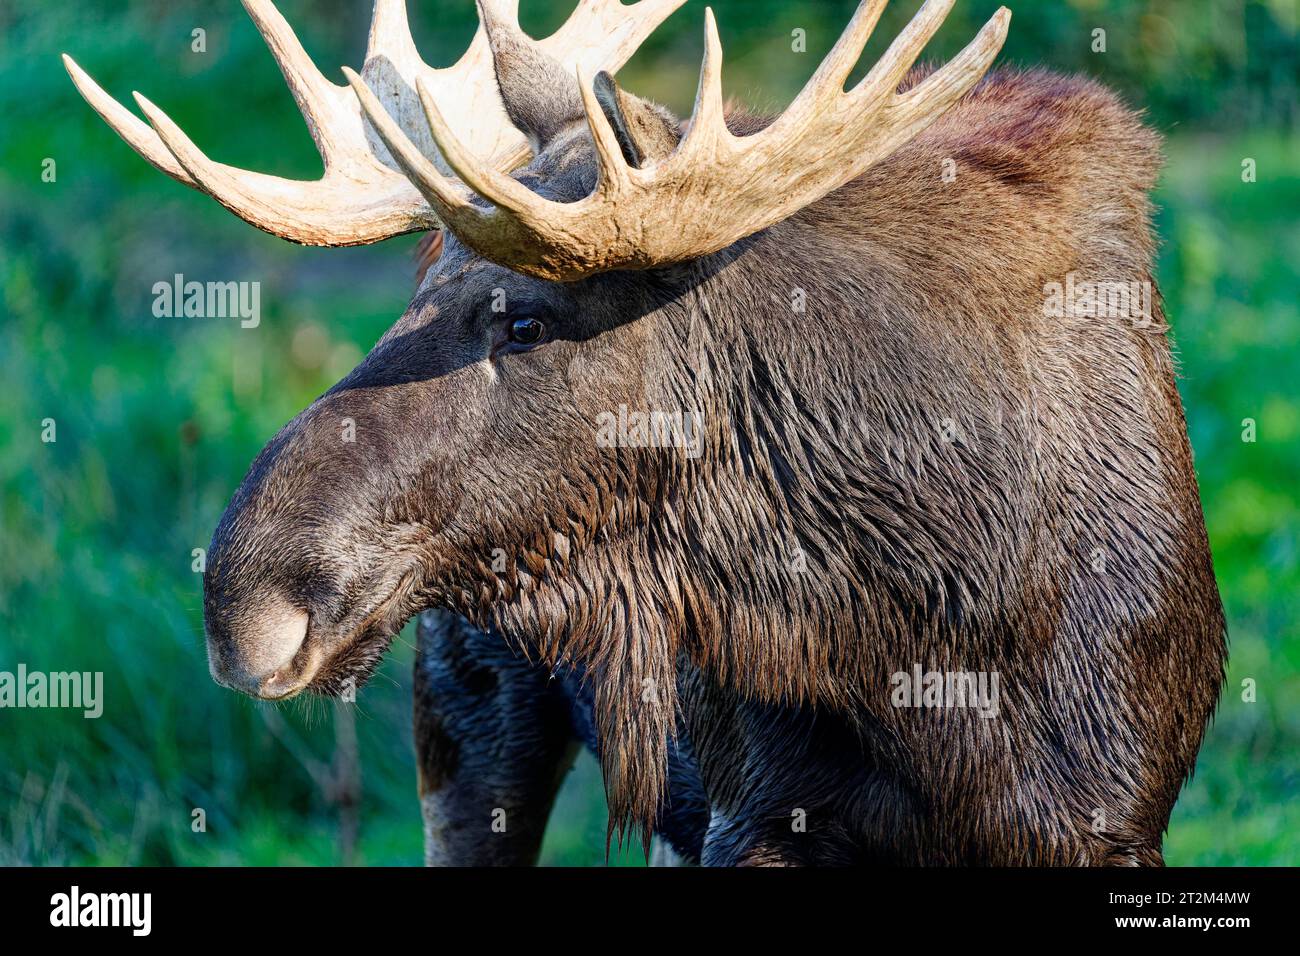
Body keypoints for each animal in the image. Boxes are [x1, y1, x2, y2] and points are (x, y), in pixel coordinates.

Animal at [66, 0, 1227, 865]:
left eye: (526, 319)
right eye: (415, 291)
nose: (244, 598)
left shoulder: (1115, 822)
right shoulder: (752, 818)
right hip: (470, 710)